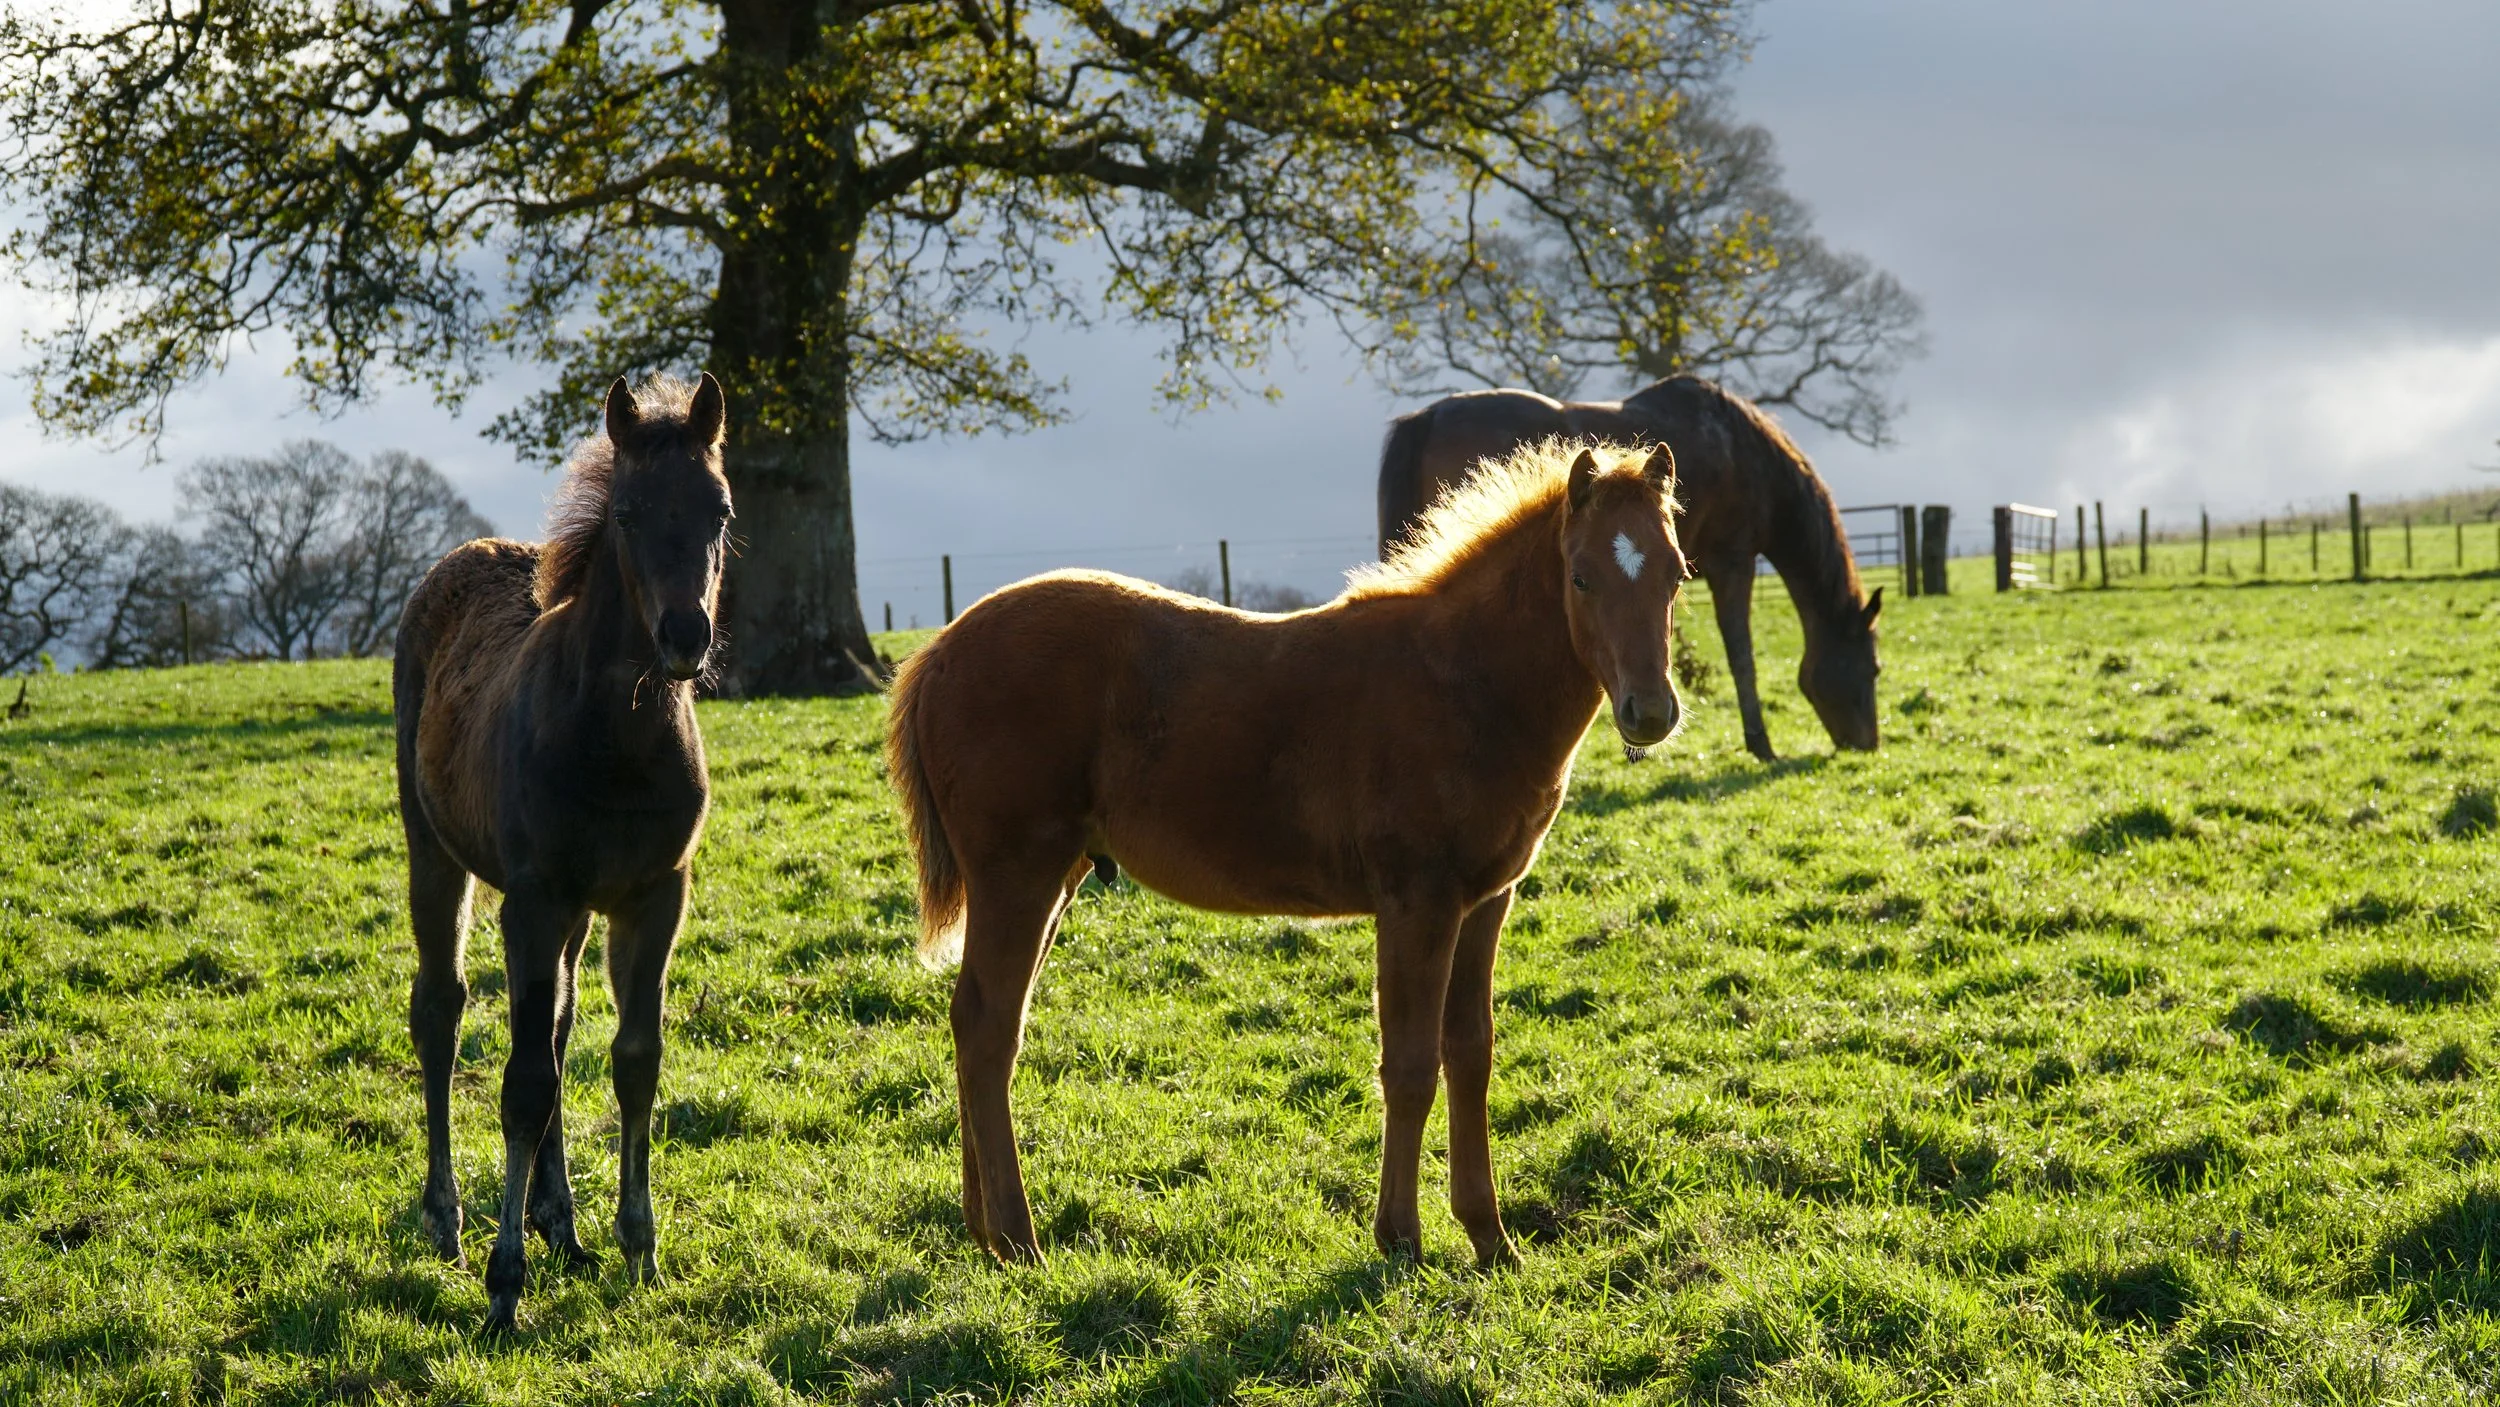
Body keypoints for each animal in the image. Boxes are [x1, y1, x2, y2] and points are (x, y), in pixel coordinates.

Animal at [392, 373, 731, 1333]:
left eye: (720, 510)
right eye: (627, 512)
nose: (685, 637)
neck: (618, 737)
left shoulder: (655, 896)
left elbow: (632, 1061)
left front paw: (640, 1247)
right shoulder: (534, 898)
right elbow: (524, 1084)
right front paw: (504, 1285)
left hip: (578, 912)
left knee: (556, 1022)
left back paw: (562, 1223)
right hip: (436, 851)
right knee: (441, 1011)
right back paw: (449, 1220)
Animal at [888, 440, 1687, 1268]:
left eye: (1676, 572)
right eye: (1581, 575)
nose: (1651, 712)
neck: (1462, 683)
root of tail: (940, 651)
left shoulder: (1486, 900)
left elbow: (1470, 1055)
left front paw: (1491, 1237)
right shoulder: (1418, 900)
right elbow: (1409, 1064)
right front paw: (1400, 1237)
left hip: (1051, 878)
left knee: (972, 1020)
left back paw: (983, 1229)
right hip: (1019, 876)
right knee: (990, 1029)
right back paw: (1018, 1238)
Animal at [1377, 375, 1881, 762]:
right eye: (1873, 669)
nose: (1867, 744)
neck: (1746, 454)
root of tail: (1426, 419)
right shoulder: (1733, 562)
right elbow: (1742, 657)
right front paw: (1761, 745)